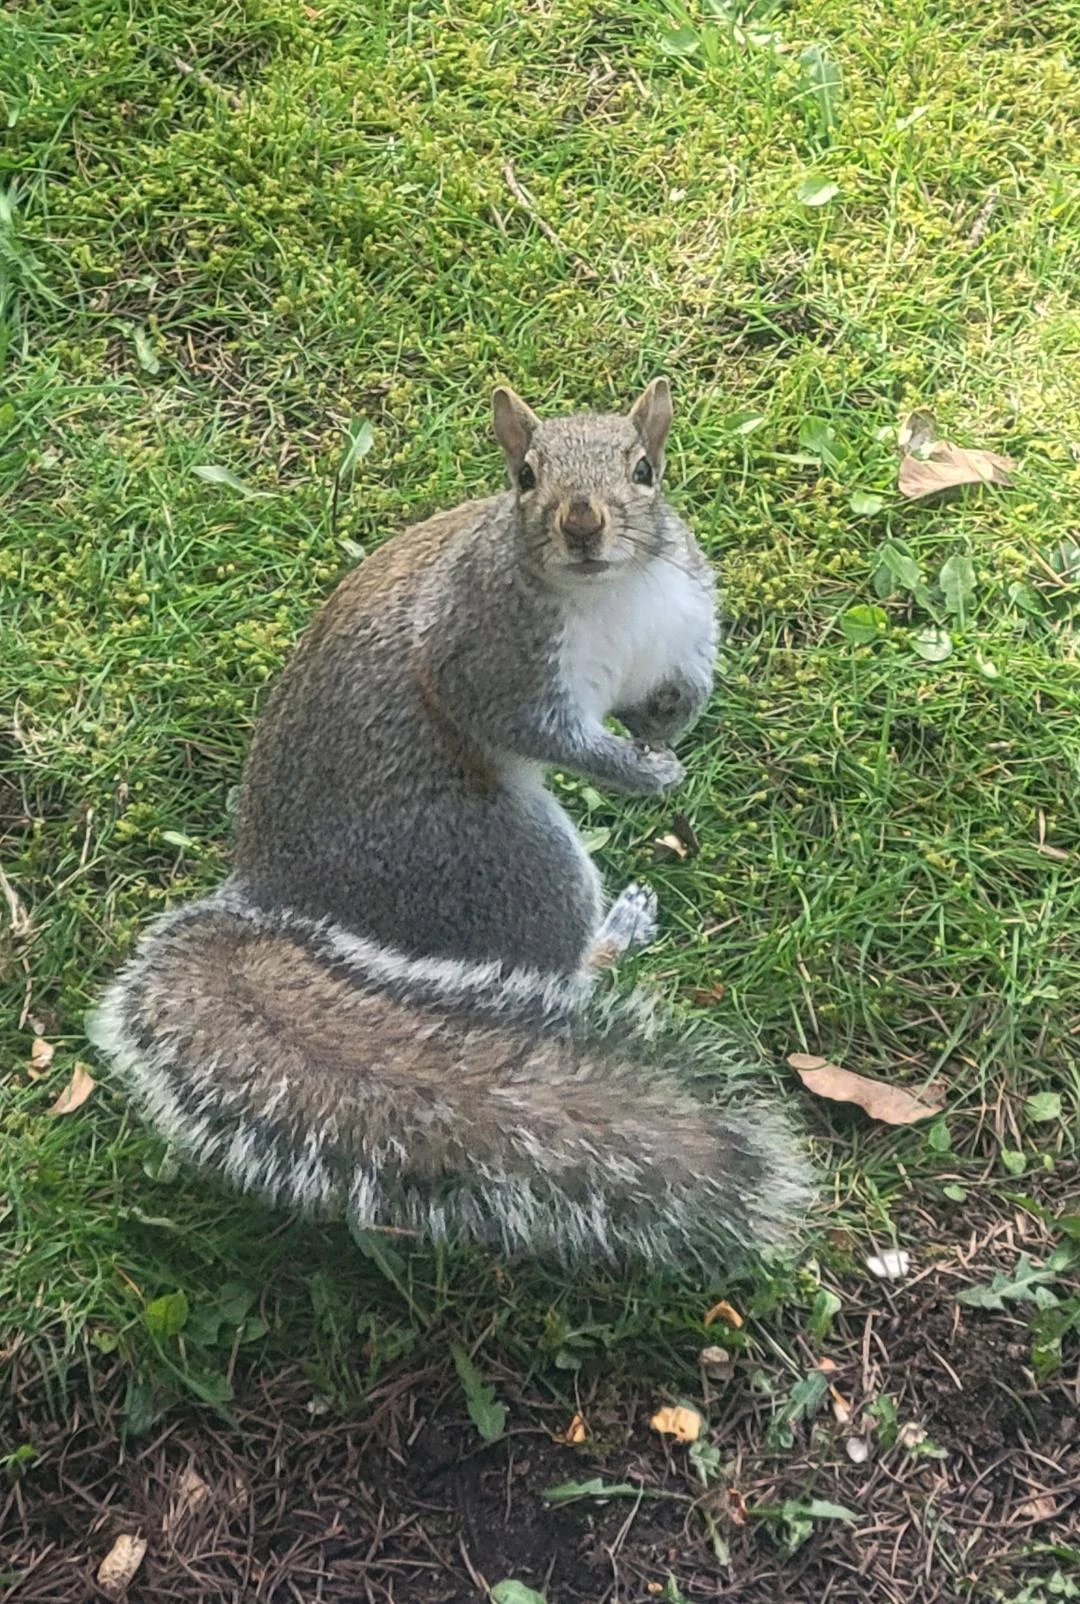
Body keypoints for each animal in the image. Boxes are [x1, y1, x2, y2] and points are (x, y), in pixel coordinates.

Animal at [90, 380, 811, 1268]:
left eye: (645, 470)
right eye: (525, 476)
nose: (581, 522)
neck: (608, 593)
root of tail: (273, 891)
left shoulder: (676, 621)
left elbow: (675, 692)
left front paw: (668, 733)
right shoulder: (485, 660)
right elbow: (540, 732)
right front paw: (638, 774)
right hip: (498, 856)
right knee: (555, 964)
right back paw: (614, 932)